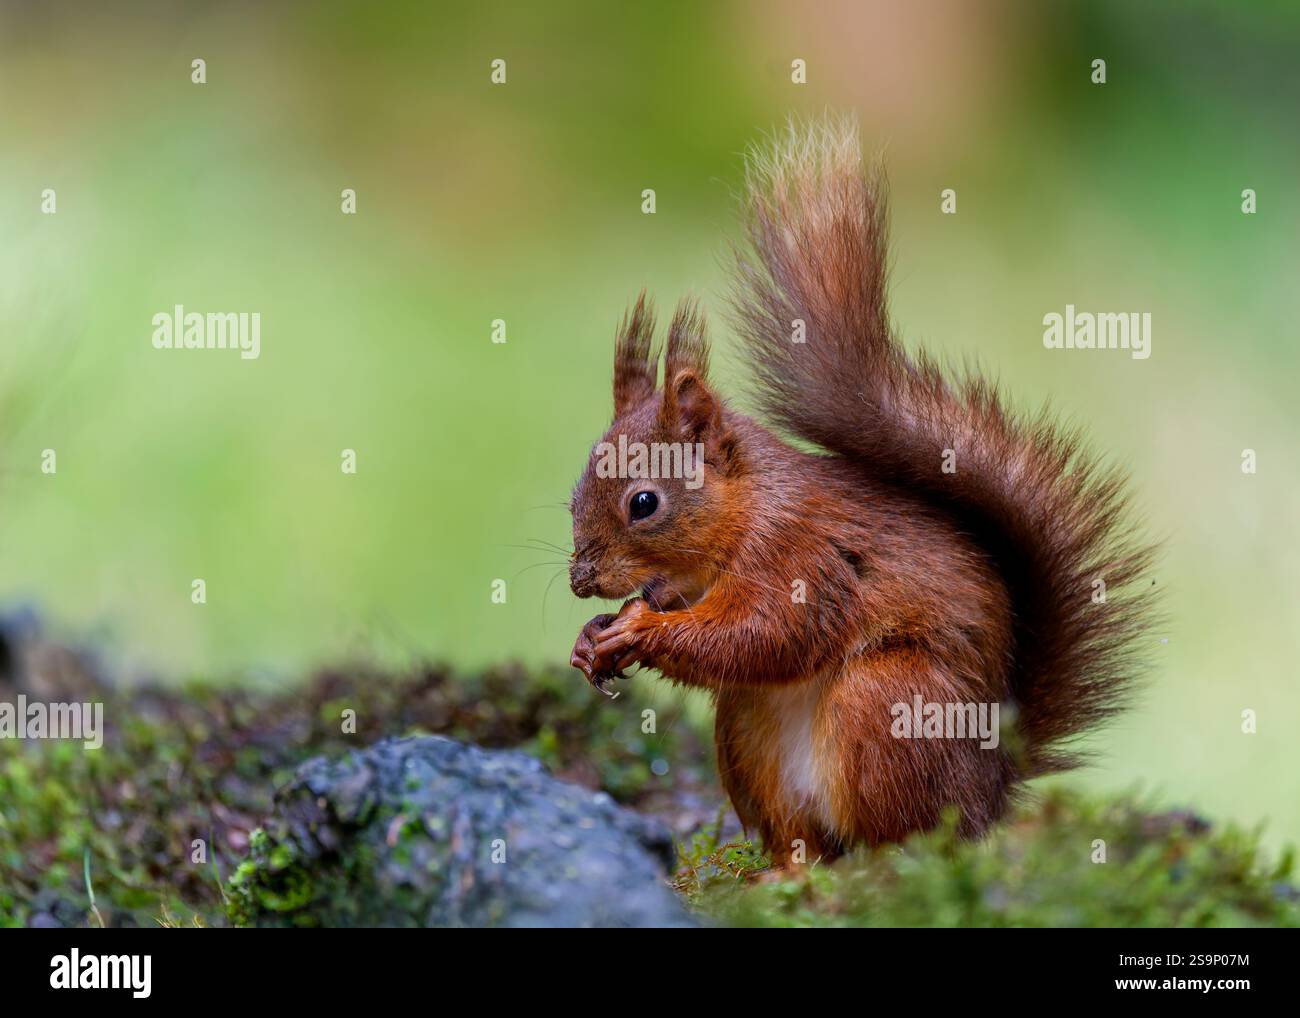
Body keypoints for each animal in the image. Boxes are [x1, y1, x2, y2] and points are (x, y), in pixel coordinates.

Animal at [567, 117, 1157, 865]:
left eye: (644, 503)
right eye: (574, 490)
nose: (581, 580)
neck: (744, 515)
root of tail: (991, 792)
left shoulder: (801, 558)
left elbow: (765, 635)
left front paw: (638, 629)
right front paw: (591, 638)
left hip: (884, 704)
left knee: (901, 835)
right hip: (748, 726)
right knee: (801, 835)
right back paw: (781, 873)